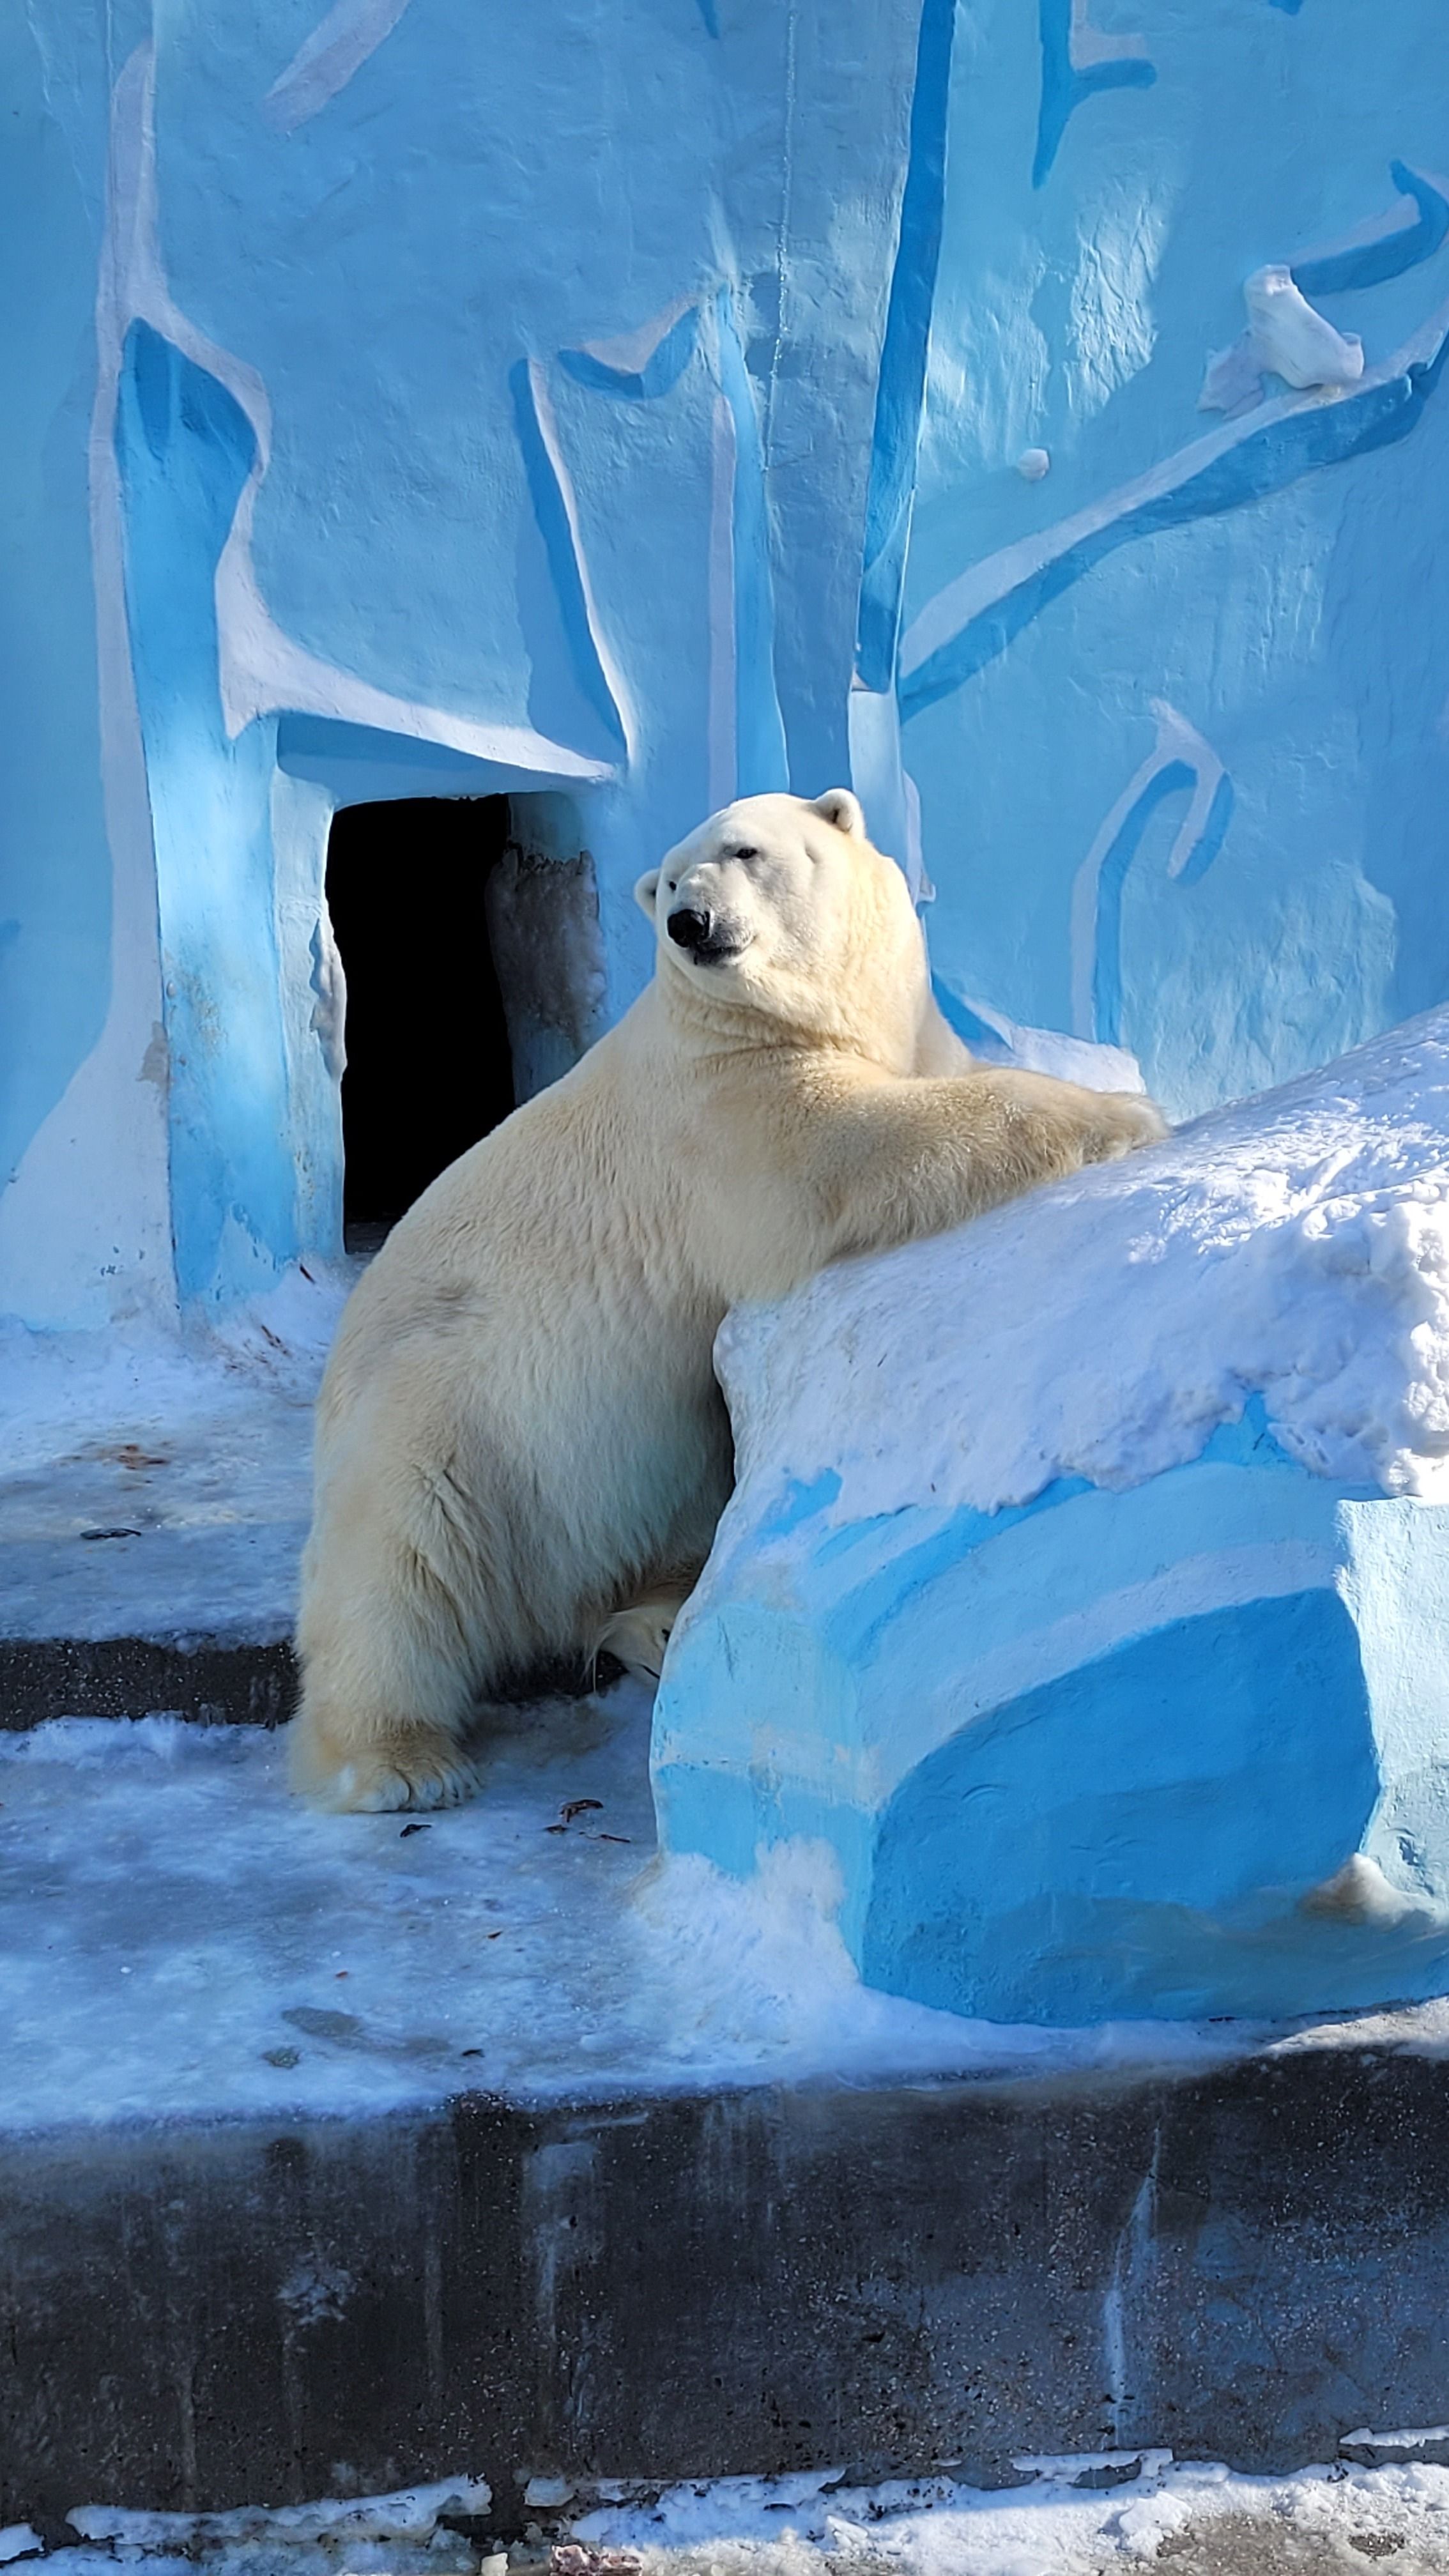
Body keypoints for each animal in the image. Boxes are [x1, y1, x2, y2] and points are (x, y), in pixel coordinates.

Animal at [291, 789, 1166, 1811]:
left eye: (745, 852)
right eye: (670, 881)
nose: (691, 924)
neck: (771, 1018)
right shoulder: (721, 1105)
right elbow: (850, 1145)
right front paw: (1127, 1116)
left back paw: (658, 1621)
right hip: (447, 1418)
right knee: (398, 1571)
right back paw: (401, 1764)